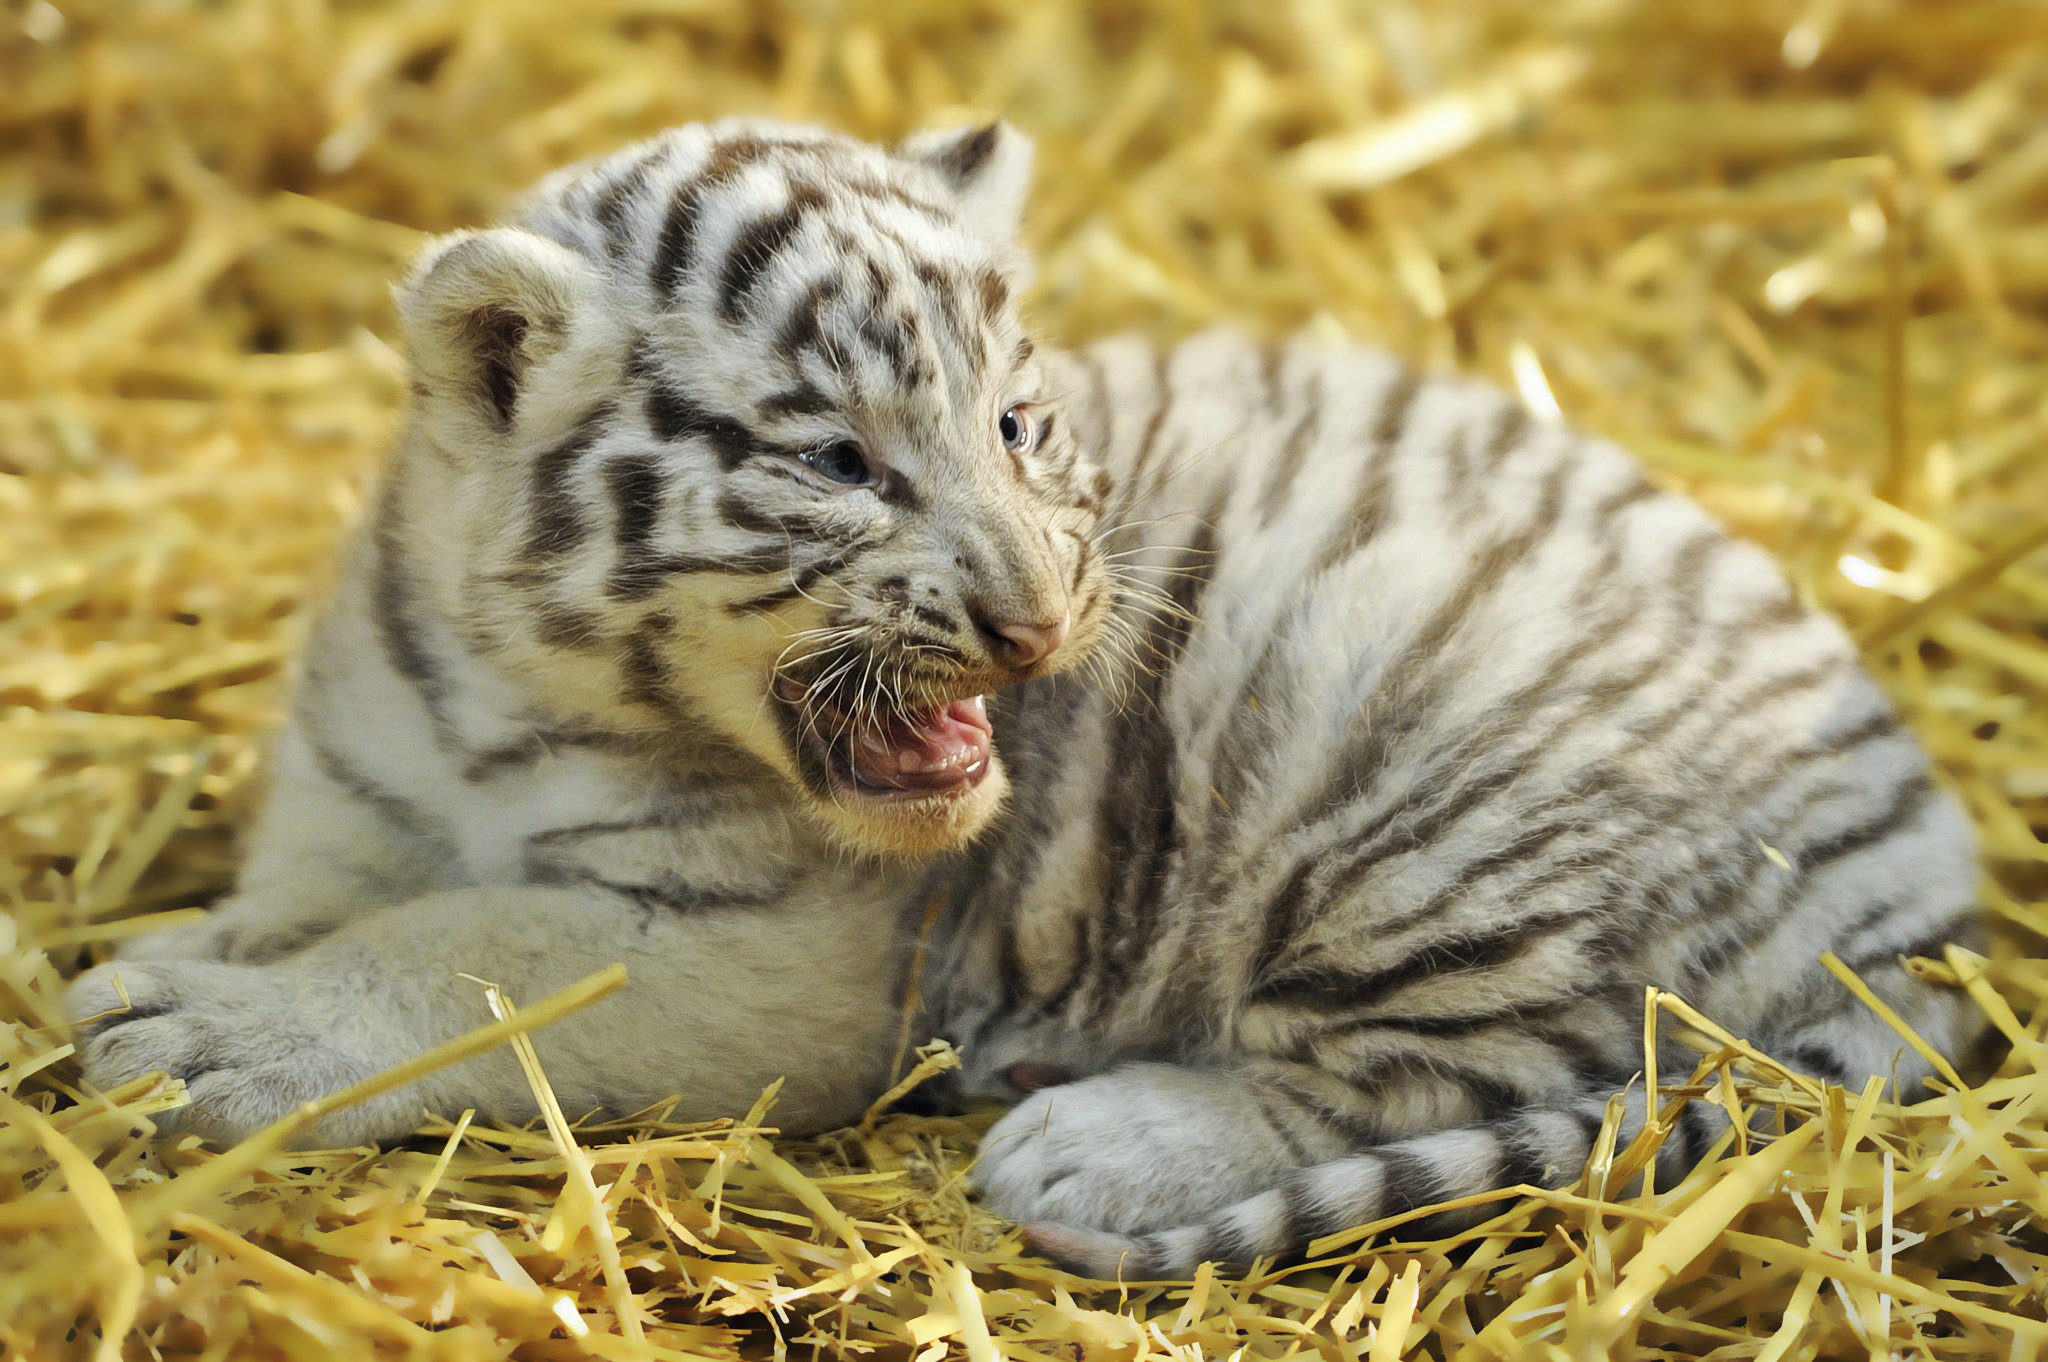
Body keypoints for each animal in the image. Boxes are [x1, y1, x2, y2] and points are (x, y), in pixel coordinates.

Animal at [67, 117, 1982, 1280]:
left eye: (1014, 421)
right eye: (837, 462)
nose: (1044, 617)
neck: (507, 688)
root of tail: (1924, 883)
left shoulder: (792, 953)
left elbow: (486, 946)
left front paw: (209, 1029)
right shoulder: (355, 787)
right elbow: (332, 898)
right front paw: (186, 969)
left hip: (1429, 819)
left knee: (1430, 1078)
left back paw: (1096, 1141)